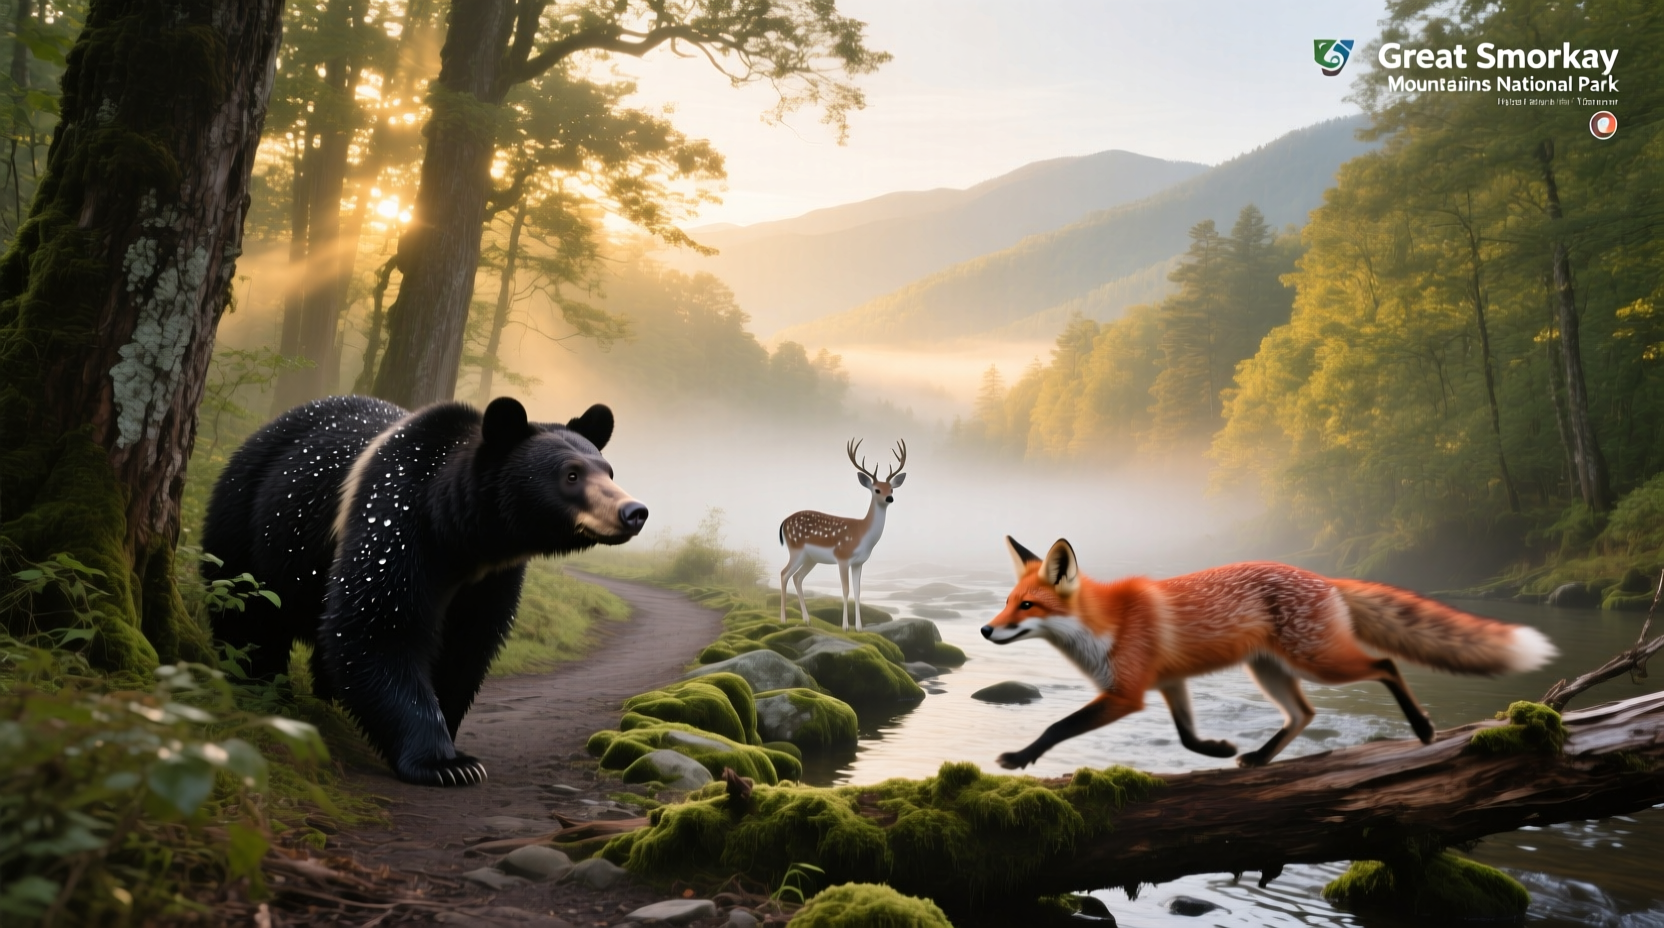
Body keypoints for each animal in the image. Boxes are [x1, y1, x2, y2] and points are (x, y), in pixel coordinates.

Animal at [200, 394, 647, 786]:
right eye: (571, 475)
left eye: (607, 471)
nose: (634, 512)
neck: (463, 536)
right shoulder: (394, 520)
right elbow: (378, 625)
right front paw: (446, 764)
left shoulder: (490, 577)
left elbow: (467, 643)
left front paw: (450, 735)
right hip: (252, 519)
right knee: (247, 613)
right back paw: (262, 686)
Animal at [777, 439, 908, 631]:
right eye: (876, 490)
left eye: (891, 489)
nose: (889, 499)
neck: (862, 534)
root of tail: (784, 522)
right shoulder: (842, 557)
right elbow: (845, 590)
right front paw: (845, 627)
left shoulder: (859, 563)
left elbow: (858, 591)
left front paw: (859, 628)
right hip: (796, 550)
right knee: (784, 574)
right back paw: (784, 619)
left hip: (810, 558)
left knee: (797, 577)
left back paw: (807, 620)